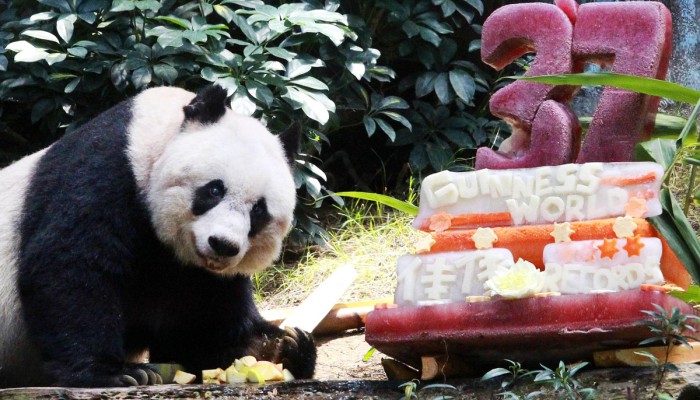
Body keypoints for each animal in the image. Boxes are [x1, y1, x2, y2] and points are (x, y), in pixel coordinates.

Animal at [0, 85, 316, 387]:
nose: (223, 245)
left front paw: (286, 347)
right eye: (215, 190)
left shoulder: (201, 276)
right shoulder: (104, 173)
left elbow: (208, 325)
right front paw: (113, 373)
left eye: (259, 211)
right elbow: (70, 267)